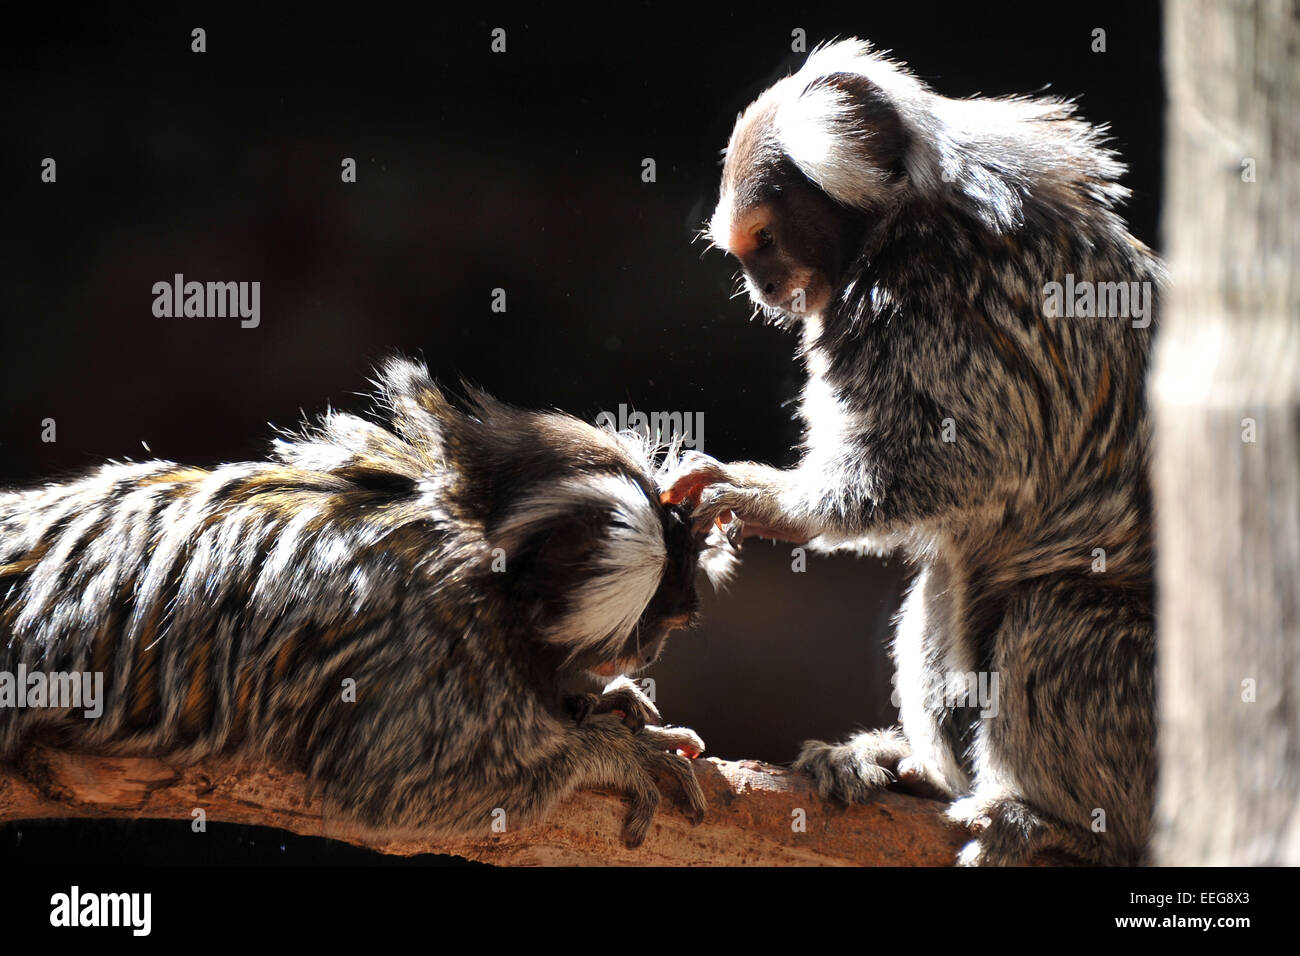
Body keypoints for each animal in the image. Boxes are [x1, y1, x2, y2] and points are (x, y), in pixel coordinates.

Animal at [0, 357, 736, 849]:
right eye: (659, 612)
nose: (662, 639)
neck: (471, 550)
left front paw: (599, 702)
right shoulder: (420, 646)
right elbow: (402, 790)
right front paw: (610, 749)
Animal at [665, 39, 1163, 865]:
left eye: (763, 240)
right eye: (742, 254)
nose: (762, 287)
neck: (904, 226)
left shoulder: (939, 310)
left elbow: (967, 458)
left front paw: (769, 502)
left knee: (1055, 614)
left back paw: (1063, 825)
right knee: (947, 584)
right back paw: (922, 774)